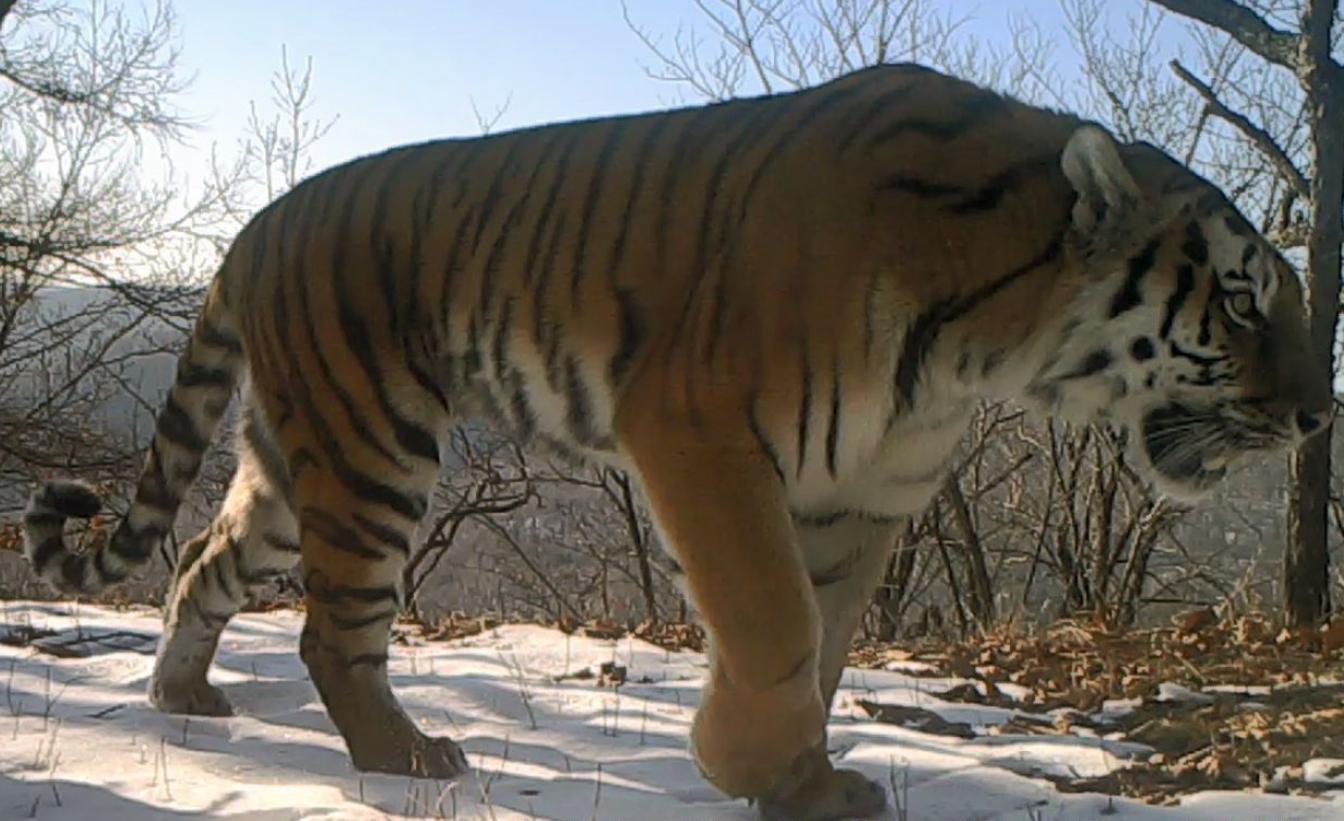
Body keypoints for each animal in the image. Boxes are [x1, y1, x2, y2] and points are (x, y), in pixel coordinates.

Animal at [22, 62, 1326, 821]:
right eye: (1243, 300)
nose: (1320, 414)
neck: (989, 339)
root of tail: (252, 227)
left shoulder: (864, 495)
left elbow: (827, 645)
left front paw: (802, 784)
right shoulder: (703, 427)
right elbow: (776, 626)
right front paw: (738, 764)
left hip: (298, 464)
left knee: (205, 560)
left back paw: (185, 694)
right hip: (373, 448)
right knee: (331, 631)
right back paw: (408, 755)